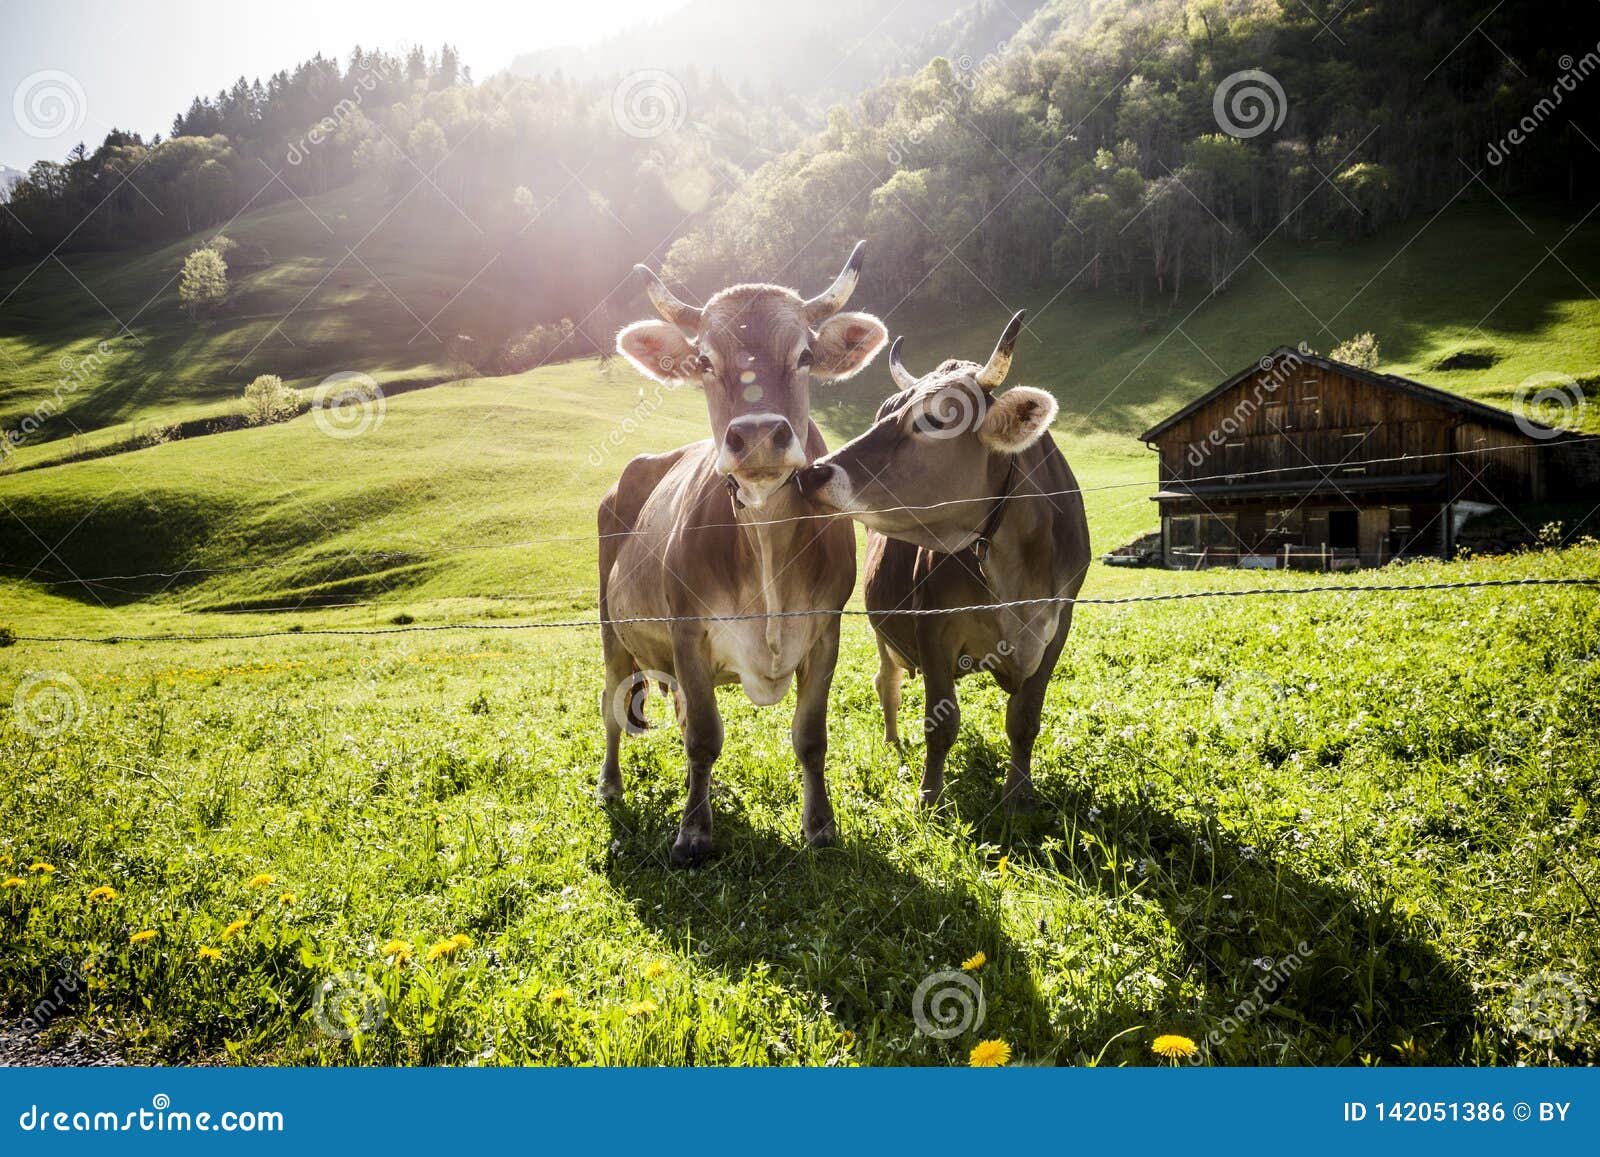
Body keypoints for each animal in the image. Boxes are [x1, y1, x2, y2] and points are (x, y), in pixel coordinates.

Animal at [599, 244, 887, 866]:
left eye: (804, 354)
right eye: (704, 360)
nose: (756, 435)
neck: (765, 537)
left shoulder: (825, 632)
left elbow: (810, 737)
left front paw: (820, 827)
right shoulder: (687, 631)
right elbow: (705, 737)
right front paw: (692, 834)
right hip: (613, 630)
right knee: (612, 705)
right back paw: (611, 785)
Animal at [797, 311, 1090, 810]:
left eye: (934, 419)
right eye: (884, 411)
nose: (811, 472)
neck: (1015, 569)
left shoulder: (1059, 624)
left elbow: (1025, 719)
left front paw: (1019, 793)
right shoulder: (932, 626)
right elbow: (941, 724)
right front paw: (929, 798)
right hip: (883, 630)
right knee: (887, 682)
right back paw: (893, 745)